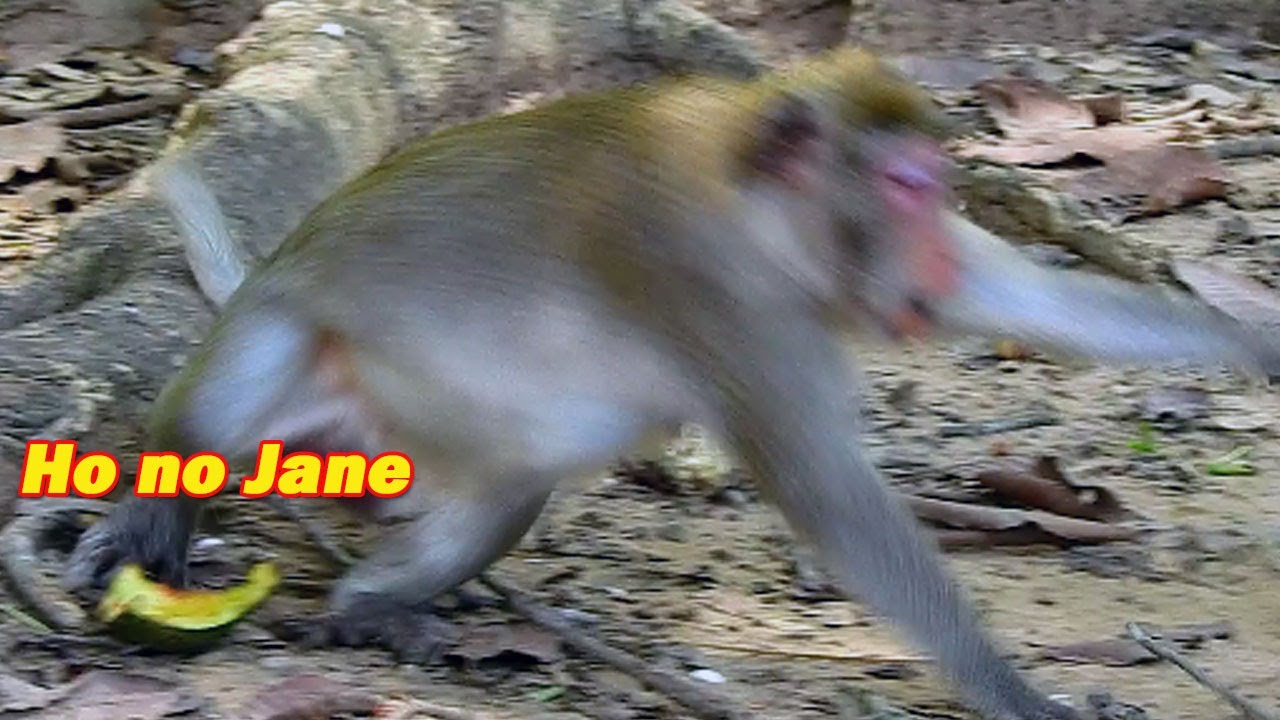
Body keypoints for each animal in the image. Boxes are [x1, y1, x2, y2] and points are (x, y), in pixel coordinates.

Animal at [63, 47, 1279, 720]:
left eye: (937, 193)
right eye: (901, 186)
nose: (934, 259)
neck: (752, 209)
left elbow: (1035, 298)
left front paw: (1255, 342)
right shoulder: (709, 289)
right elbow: (830, 497)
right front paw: (1020, 696)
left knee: (509, 491)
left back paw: (372, 609)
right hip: (292, 333)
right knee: (221, 409)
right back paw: (159, 507)